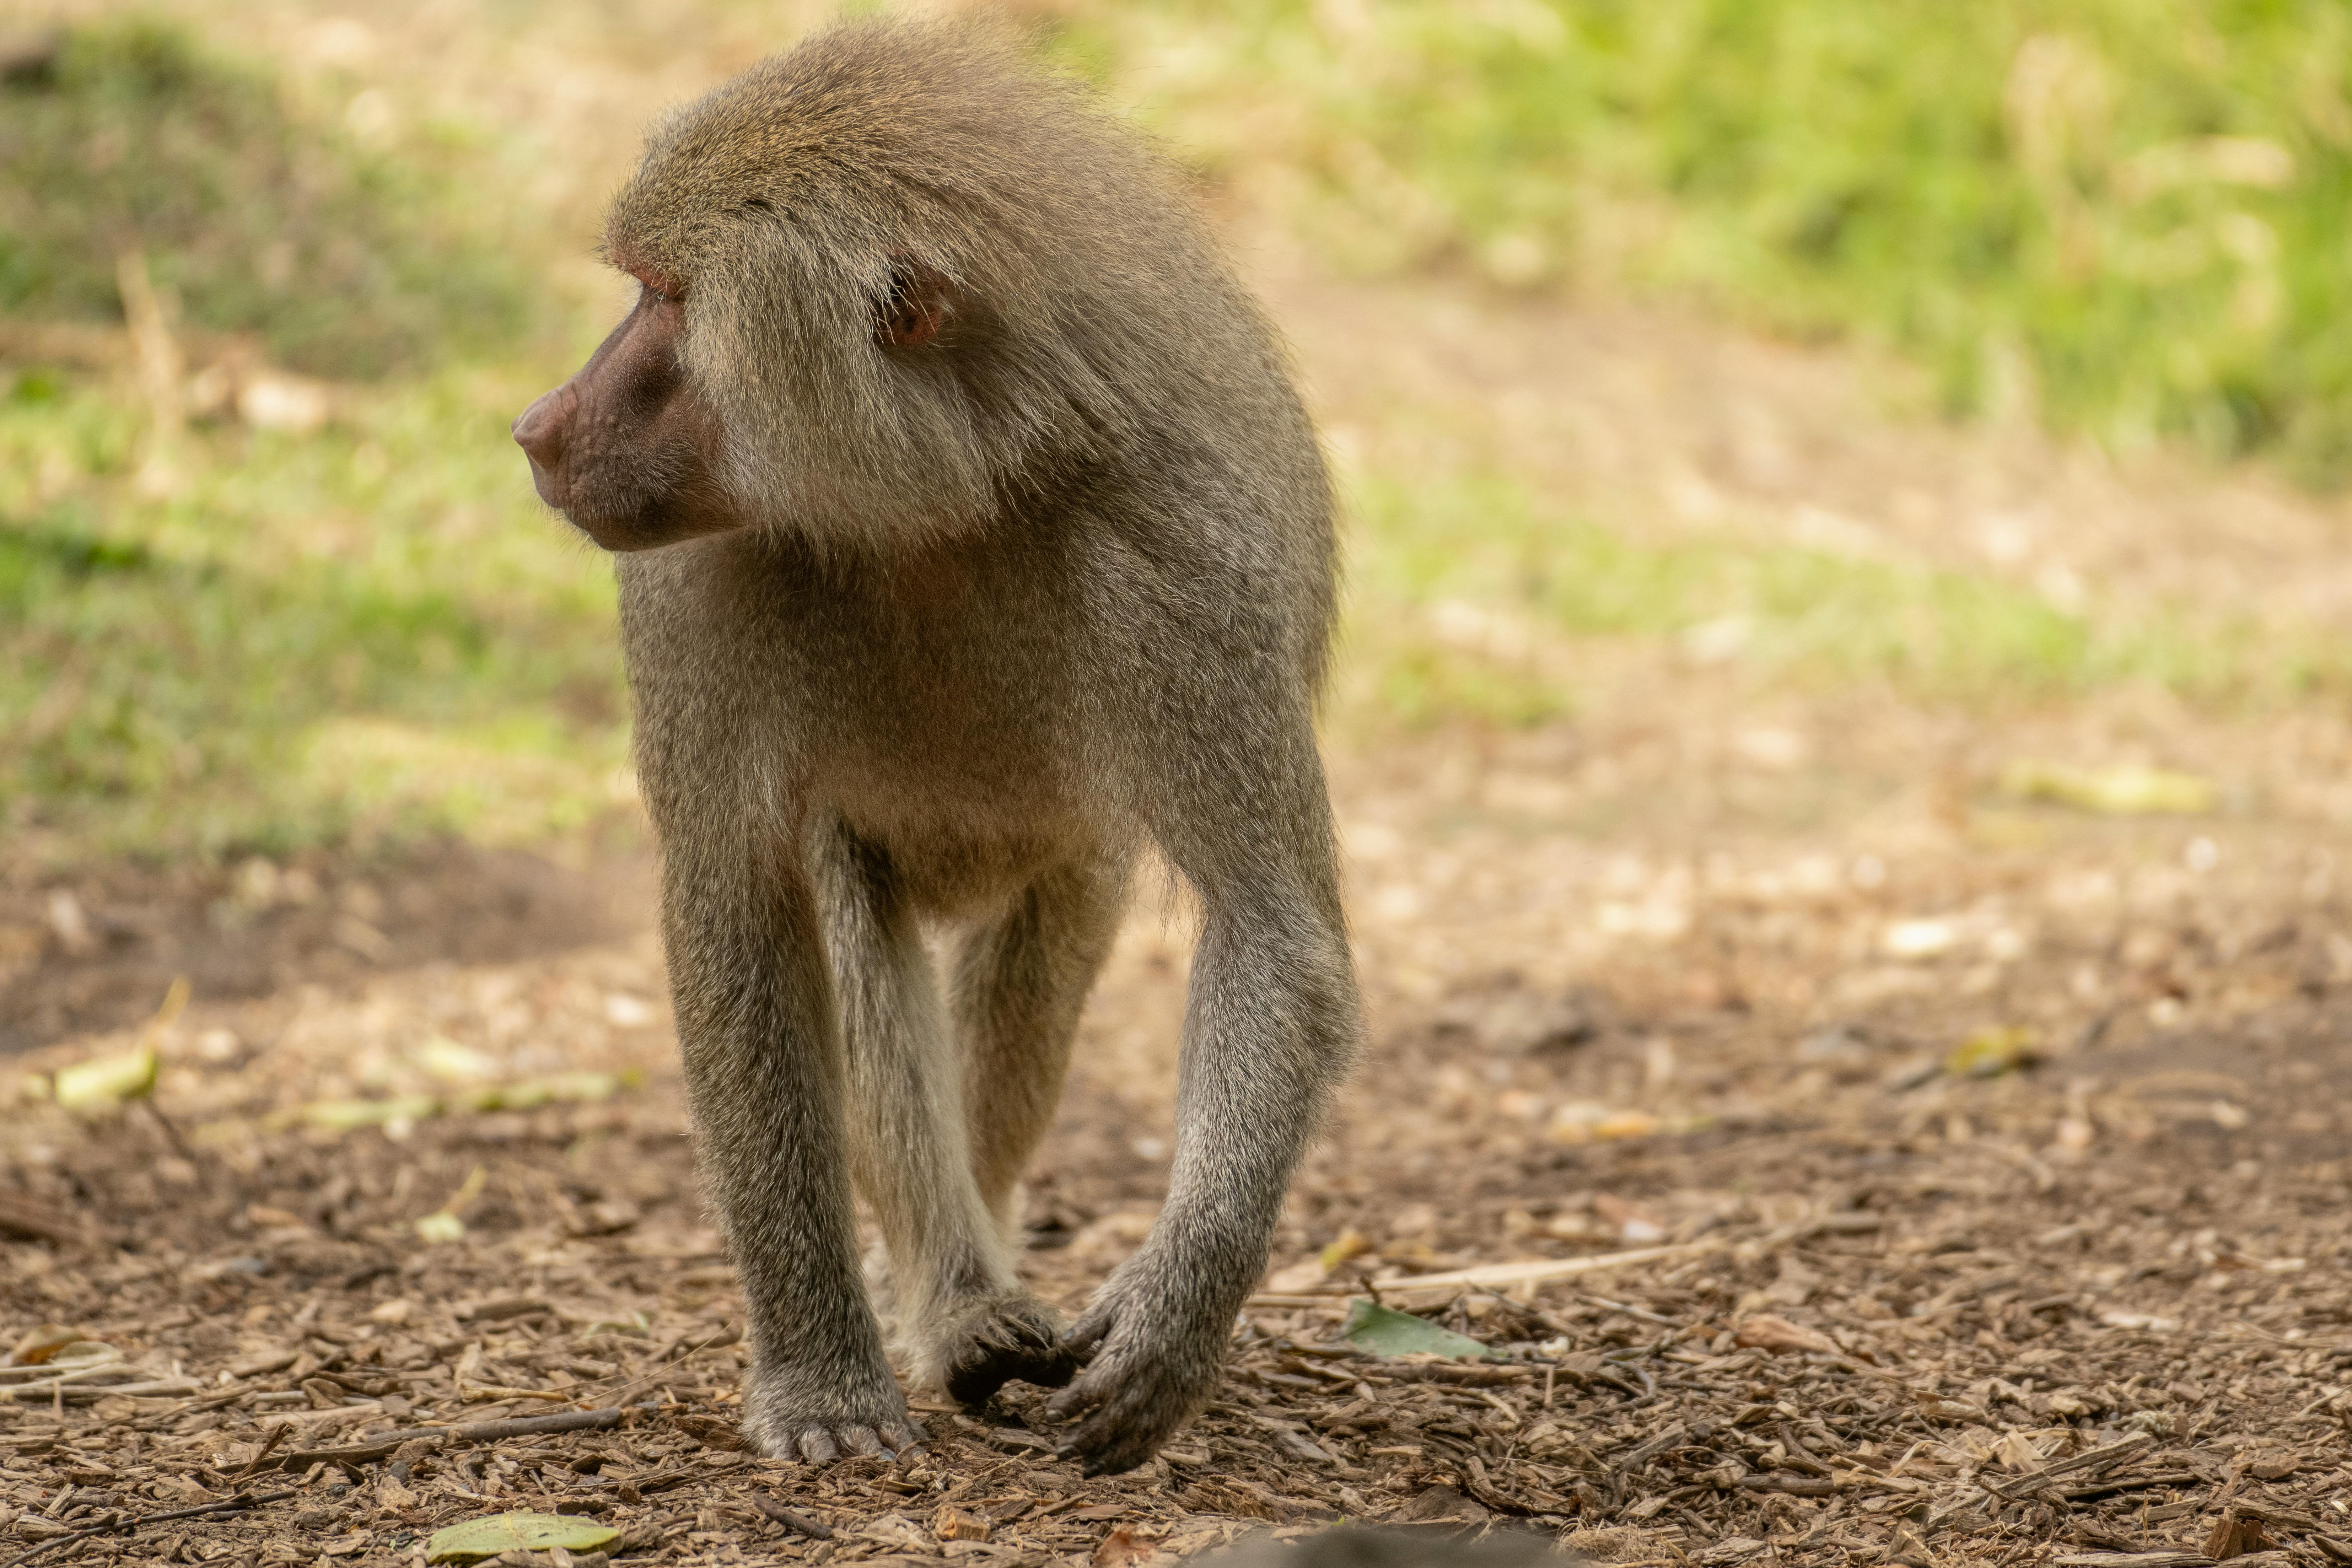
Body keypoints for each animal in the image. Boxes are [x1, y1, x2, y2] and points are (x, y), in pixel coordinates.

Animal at [511, 16, 1359, 1476]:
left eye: (666, 298)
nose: (541, 429)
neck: (940, 498)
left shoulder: (1185, 579)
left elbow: (1271, 931)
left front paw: (1172, 1314)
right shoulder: (705, 579)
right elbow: (740, 914)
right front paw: (823, 1380)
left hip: (1070, 865)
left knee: (1021, 996)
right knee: (864, 951)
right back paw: (953, 1311)